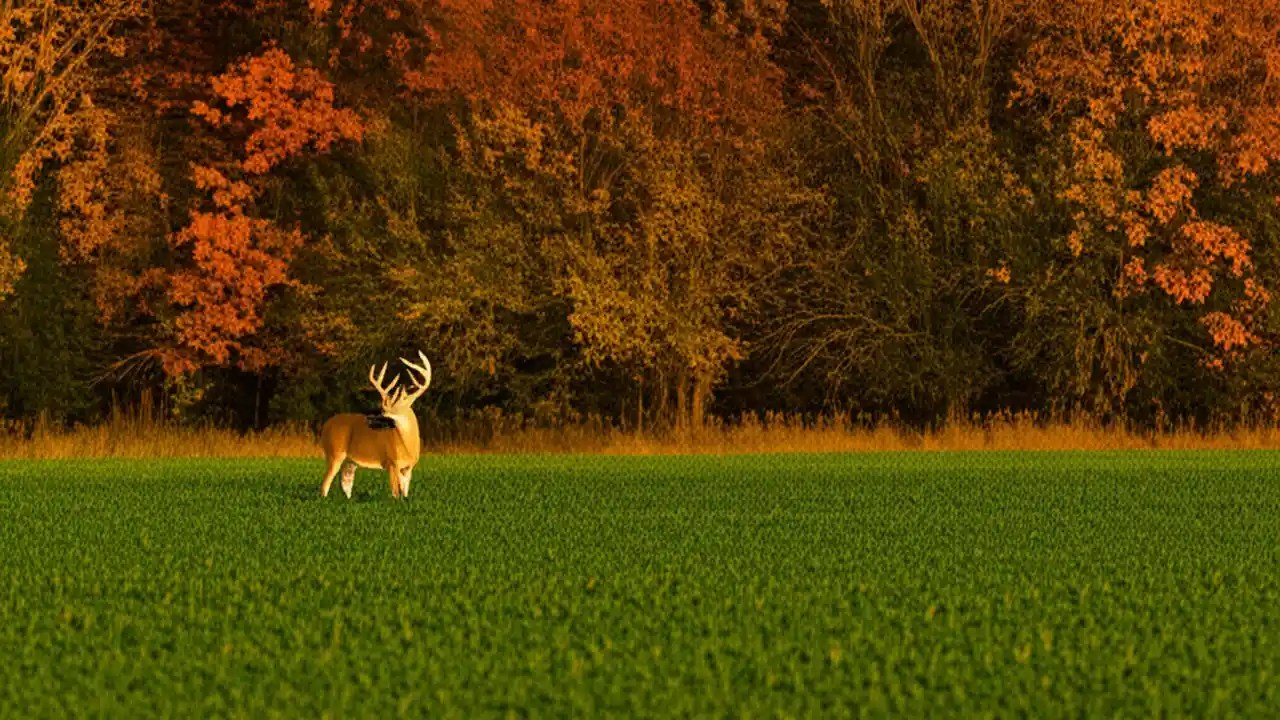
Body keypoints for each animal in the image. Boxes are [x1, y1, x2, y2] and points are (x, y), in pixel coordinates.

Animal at [319, 351, 432, 500]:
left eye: (397, 407)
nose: (382, 411)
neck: (407, 446)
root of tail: (326, 425)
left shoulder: (408, 467)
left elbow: (405, 493)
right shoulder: (391, 462)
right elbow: (395, 493)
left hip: (350, 461)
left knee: (346, 482)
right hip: (334, 453)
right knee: (325, 483)